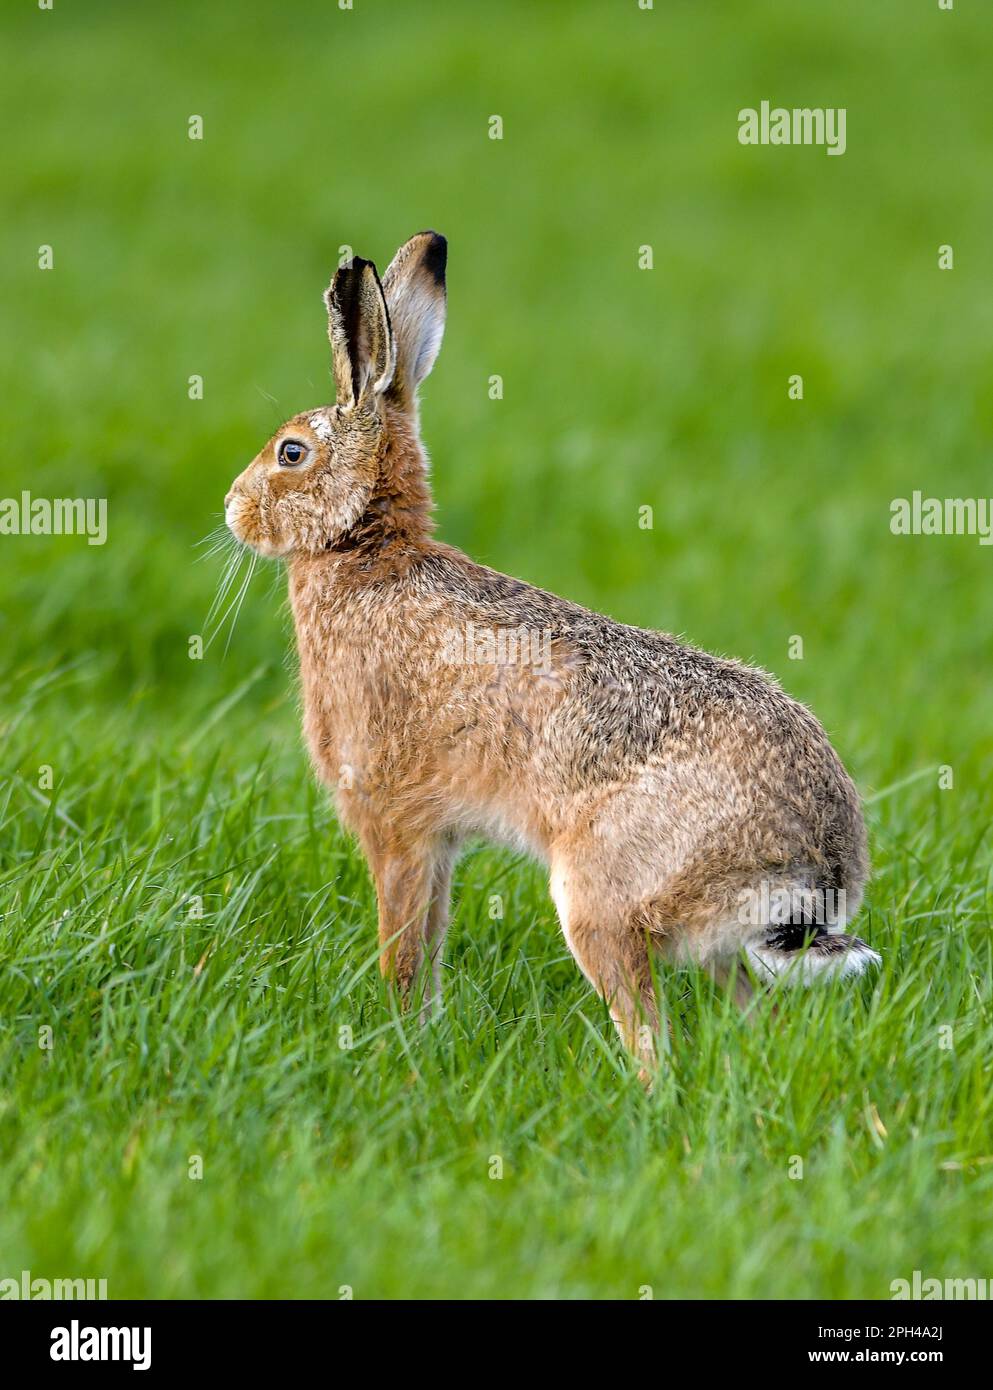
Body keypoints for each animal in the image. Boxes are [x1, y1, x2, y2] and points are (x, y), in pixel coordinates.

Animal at [224, 230, 878, 1073]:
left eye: (291, 454)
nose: (232, 509)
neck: (368, 553)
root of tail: (818, 867)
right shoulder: (434, 840)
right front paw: (422, 1041)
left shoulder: (396, 825)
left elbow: (404, 951)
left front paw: (403, 1044)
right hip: (711, 941)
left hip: (599, 897)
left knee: (649, 1035)